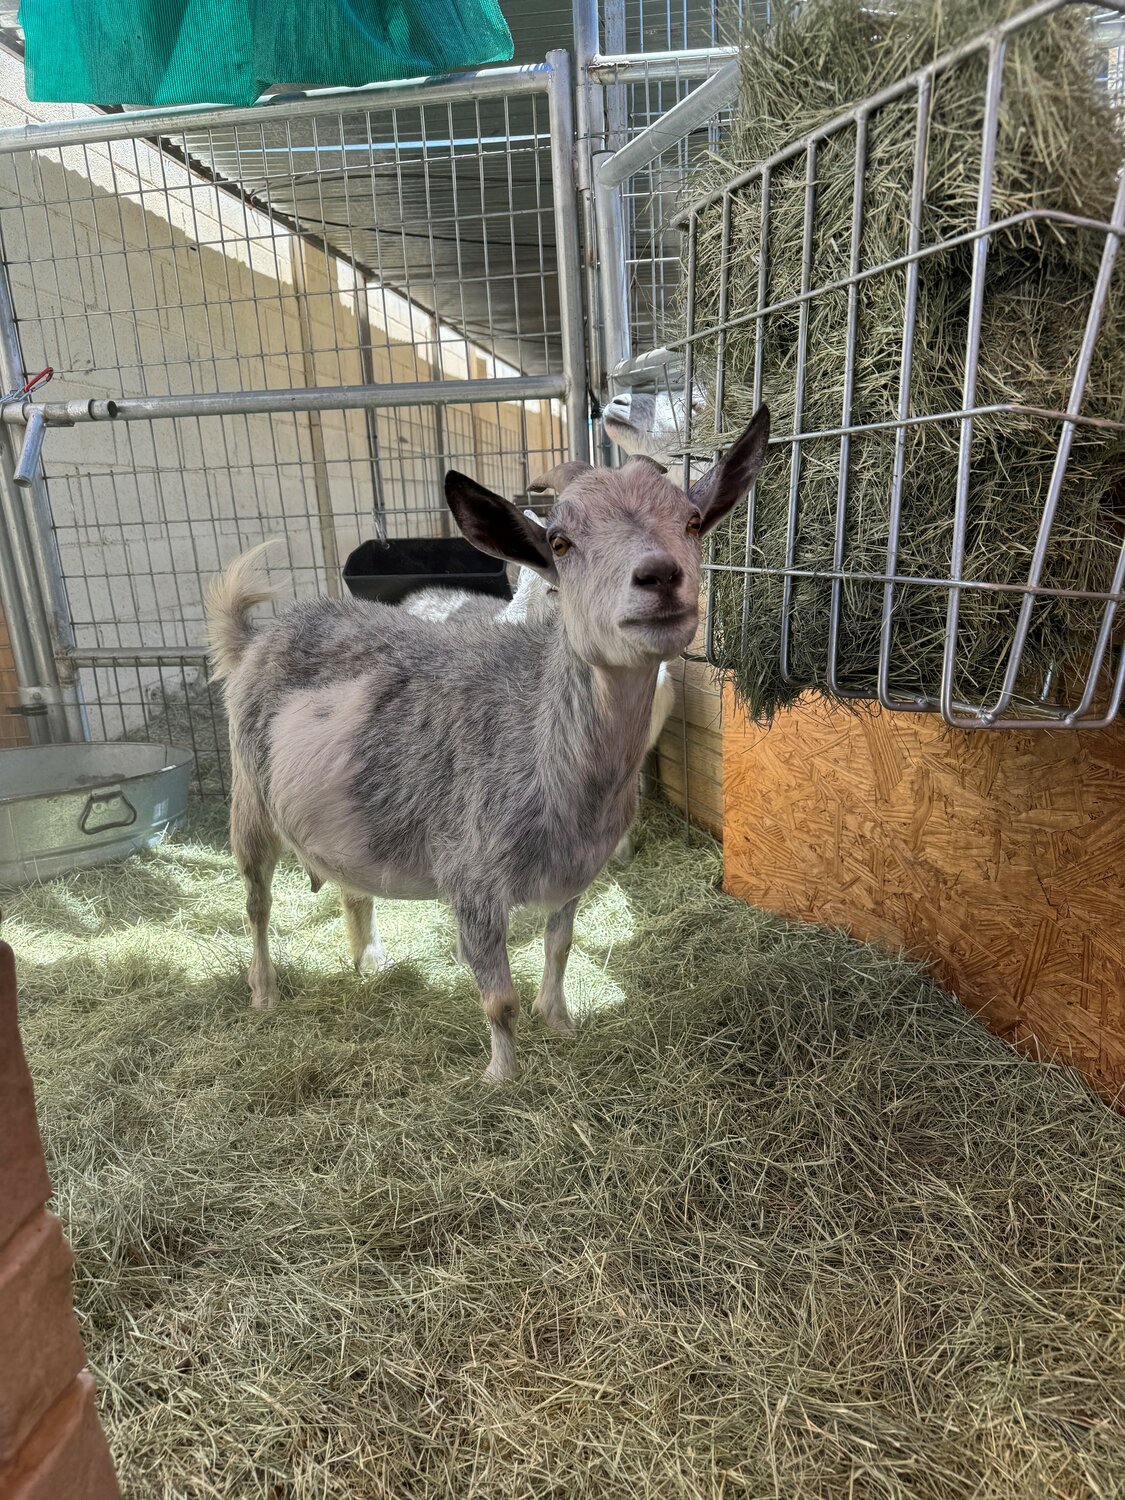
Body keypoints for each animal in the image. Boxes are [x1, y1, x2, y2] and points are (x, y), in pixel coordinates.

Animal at [205, 407, 769, 1082]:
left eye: (691, 521)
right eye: (560, 543)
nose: (661, 576)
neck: (544, 750)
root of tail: (255, 639)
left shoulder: (573, 872)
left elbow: (561, 946)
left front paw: (561, 1022)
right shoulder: (470, 878)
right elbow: (499, 998)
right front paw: (502, 1076)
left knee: (350, 887)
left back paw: (370, 961)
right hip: (249, 802)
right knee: (256, 902)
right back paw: (264, 992)